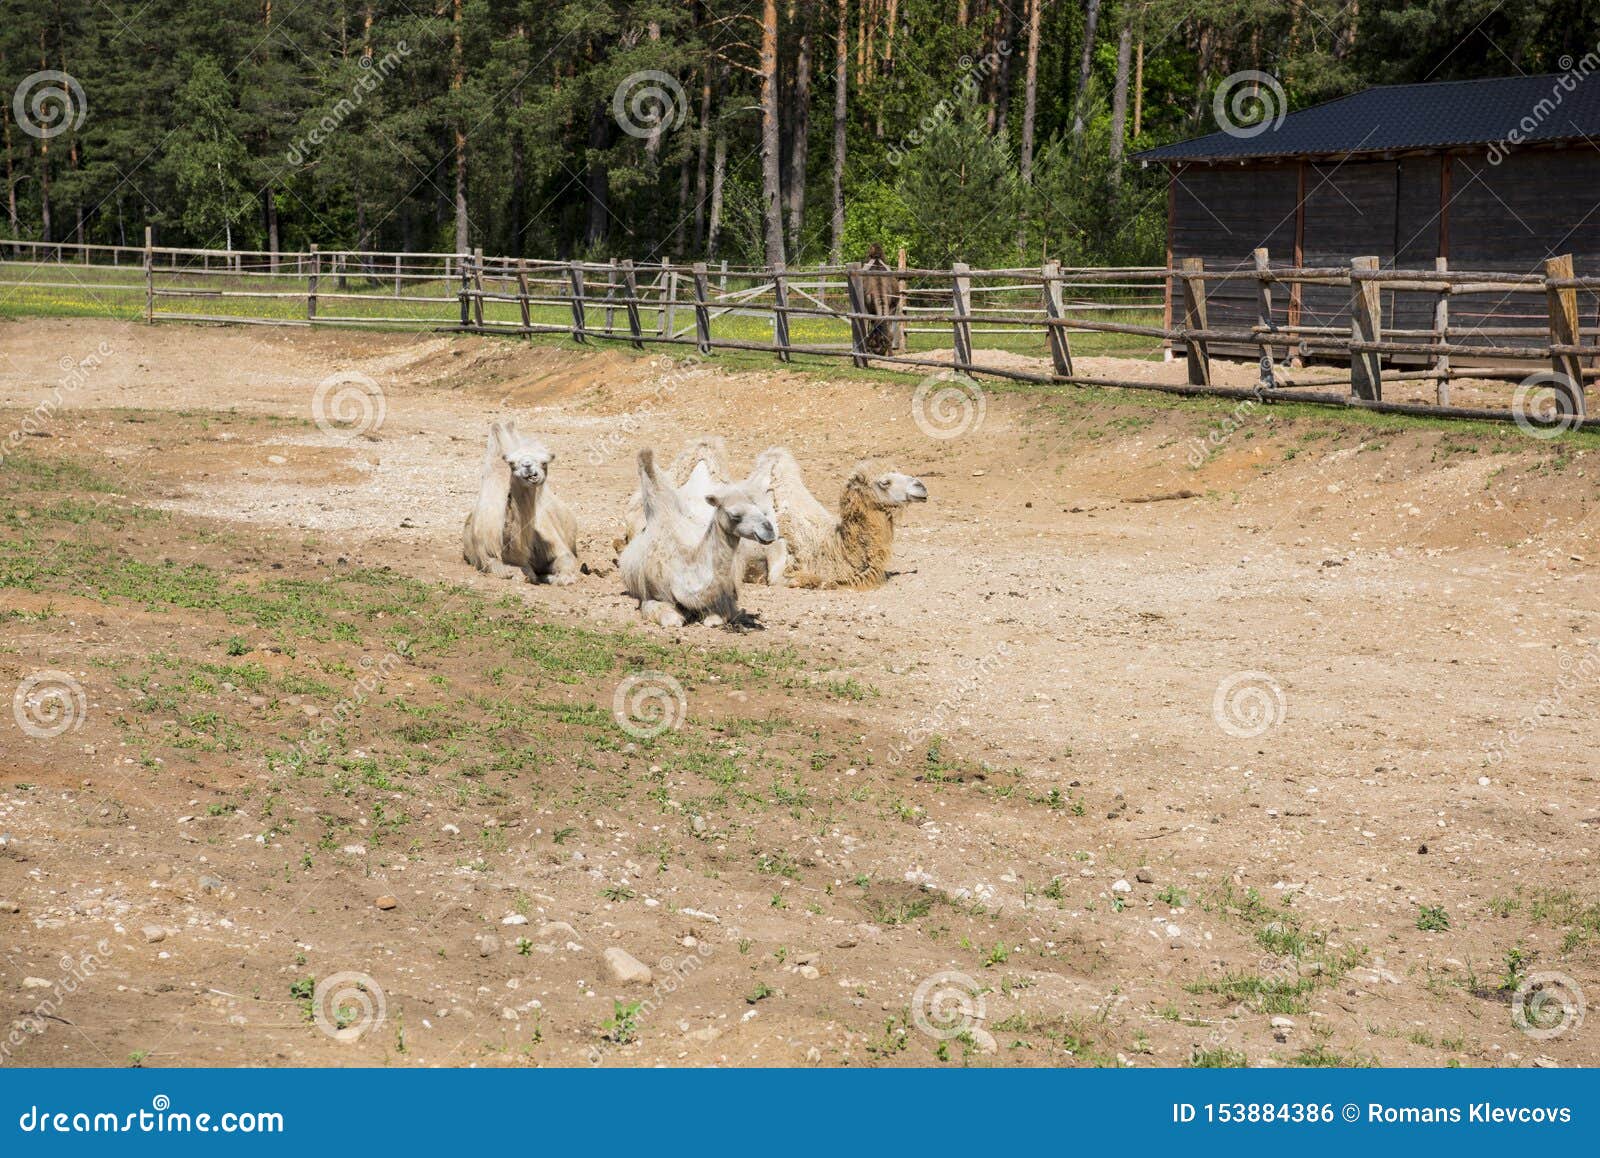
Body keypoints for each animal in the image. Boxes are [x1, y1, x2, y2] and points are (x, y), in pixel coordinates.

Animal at [462, 419, 581, 585]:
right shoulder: (487, 556)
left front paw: (552, 577)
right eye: (512, 463)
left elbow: (565, 570)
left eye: (544, 462)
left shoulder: (558, 548)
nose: (528, 467)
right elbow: (515, 572)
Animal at [618, 448, 776, 627]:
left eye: (761, 510)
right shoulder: (652, 595)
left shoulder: (723, 597)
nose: (769, 530)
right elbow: (671, 619)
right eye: (735, 515)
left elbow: (716, 618)